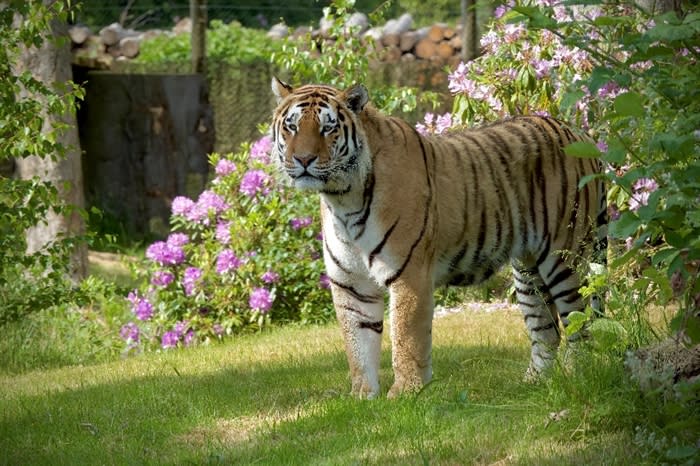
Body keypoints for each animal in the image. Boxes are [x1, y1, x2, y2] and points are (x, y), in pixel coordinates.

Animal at [270, 77, 607, 399]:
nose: (303, 160)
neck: (342, 197)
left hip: (564, 256)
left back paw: (579, 373)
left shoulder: (408, 273)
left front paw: (406, 393)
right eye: (292, 126)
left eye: (328, 127)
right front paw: (363, 396)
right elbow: (358, 345)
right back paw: (534, 383)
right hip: (527, 269)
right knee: (546, 330)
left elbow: (407, 336)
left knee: (581, 318)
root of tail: (580, 133)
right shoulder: (351, 283)